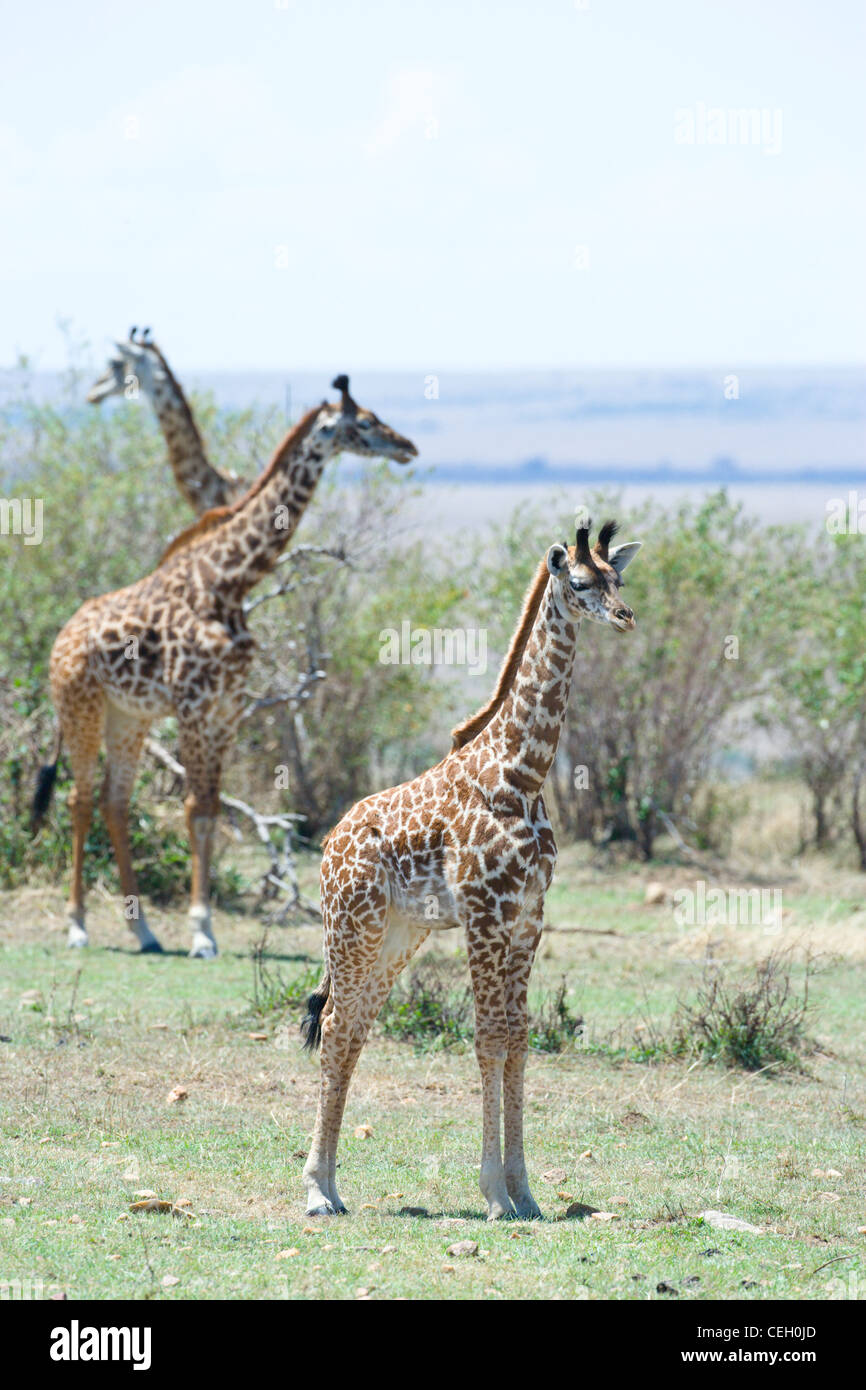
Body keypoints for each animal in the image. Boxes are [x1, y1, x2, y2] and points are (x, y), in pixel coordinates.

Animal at [33, 377, 417, 959]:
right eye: (366, 422)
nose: (406, 445)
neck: (229, 580)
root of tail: (60, 639)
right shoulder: (194, 706)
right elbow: (196, 809)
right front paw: (201, 932)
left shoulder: (226, 709)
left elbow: (212, 809)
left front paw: (200, 925)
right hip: (82, 706)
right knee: (79, 799)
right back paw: (77, 926)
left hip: (129, 717)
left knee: (114, 802)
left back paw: (143, 931)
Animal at [301, 518, 642, 1220]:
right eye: (579, 582)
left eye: (618, 577)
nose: (625, 616)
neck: (524, 773)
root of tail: (329, 843)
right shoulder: (486, 914)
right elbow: (488, 1039)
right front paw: (493, 1196)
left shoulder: (529, 916)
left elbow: (519, 1040)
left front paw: (525, 1192)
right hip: (351, 928)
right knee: (335, 1024)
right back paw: (317, 1190)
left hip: (399, 936)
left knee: (353, 1029)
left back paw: (333, 1187)